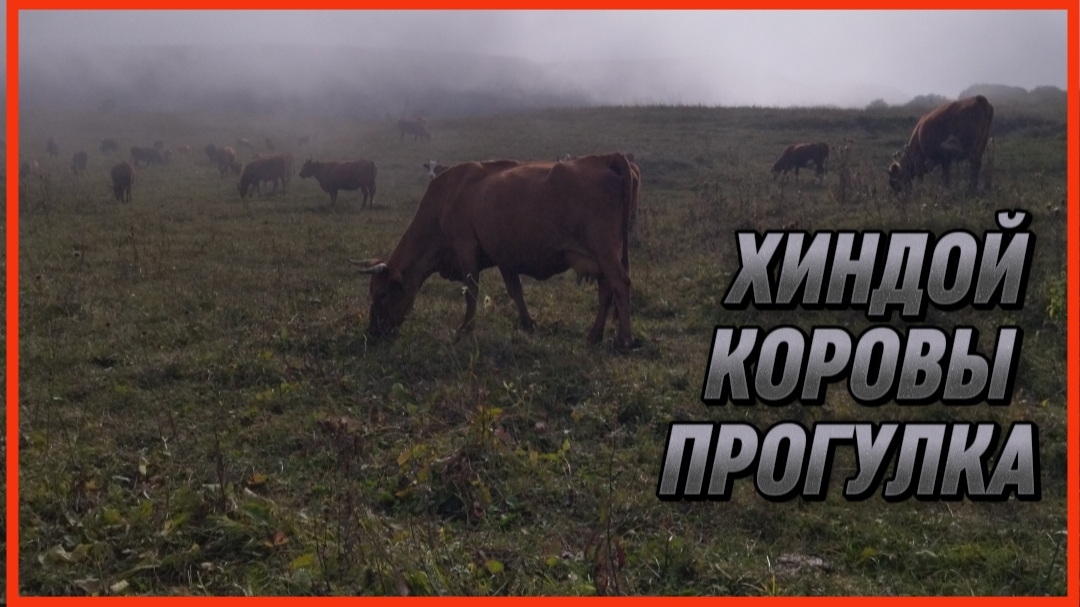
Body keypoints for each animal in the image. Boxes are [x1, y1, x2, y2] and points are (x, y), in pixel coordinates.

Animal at [351, 152, 638, 350]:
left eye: (382, 294)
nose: (373, 332)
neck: (445, 198)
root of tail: (605, 158)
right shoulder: (505, 257)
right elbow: (516, 292)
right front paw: (528, 323)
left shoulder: (466, 248)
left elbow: (471, 292)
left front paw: (465, 328)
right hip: (598, 257)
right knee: (606, 290)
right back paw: (595, 335)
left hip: (604, 251)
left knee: (620, 284)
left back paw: (624, 340)